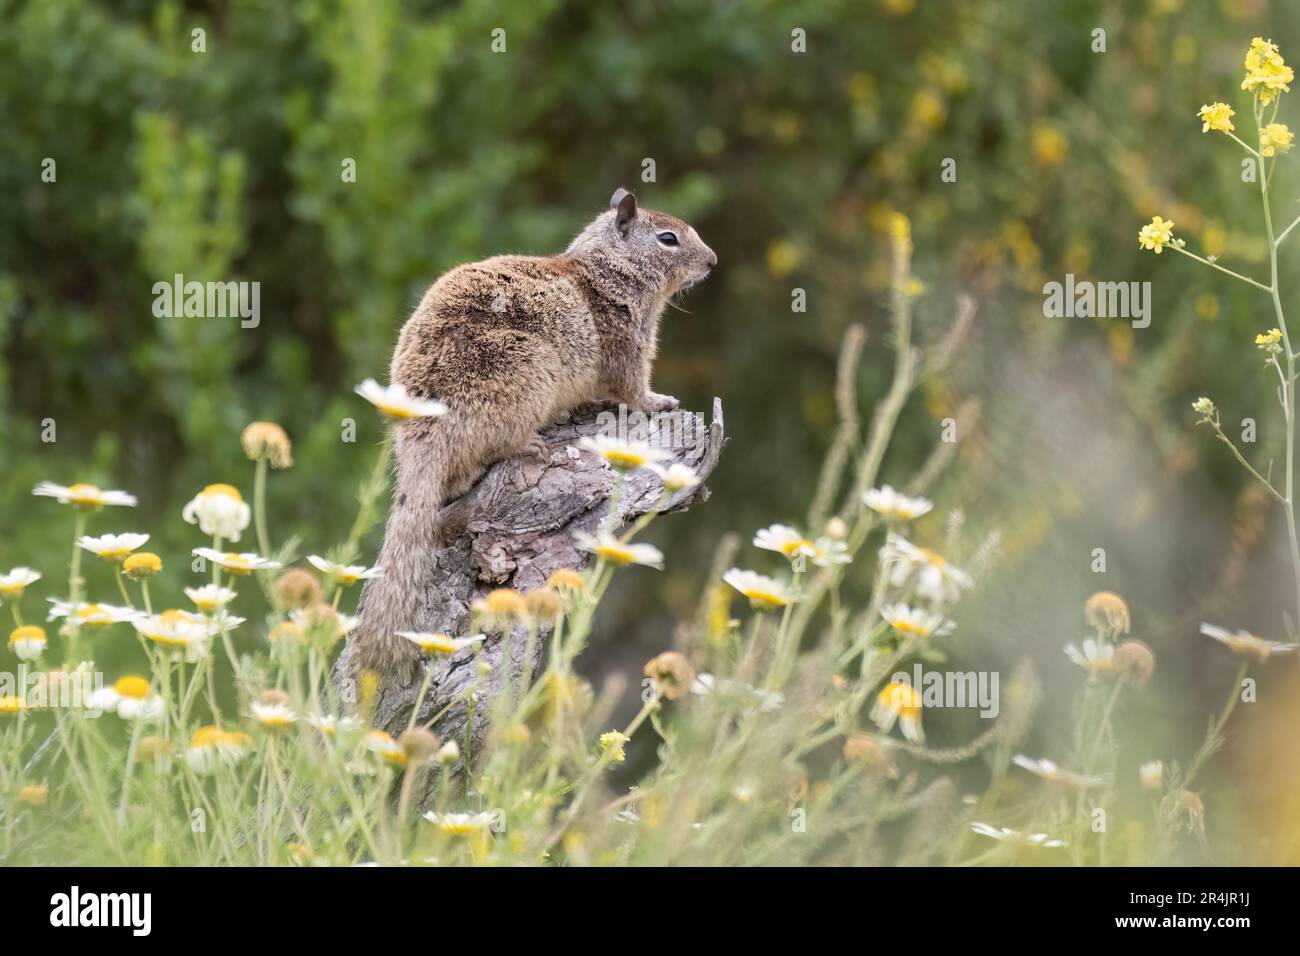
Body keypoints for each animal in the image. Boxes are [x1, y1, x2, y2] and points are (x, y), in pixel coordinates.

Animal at [353, 188, 717, 678]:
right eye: (668, 238)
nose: (713, 260)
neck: (606, 271)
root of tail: (421, 433)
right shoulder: (627, 349)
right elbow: (634, 389)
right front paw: (661, 402)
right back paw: (530, 444)